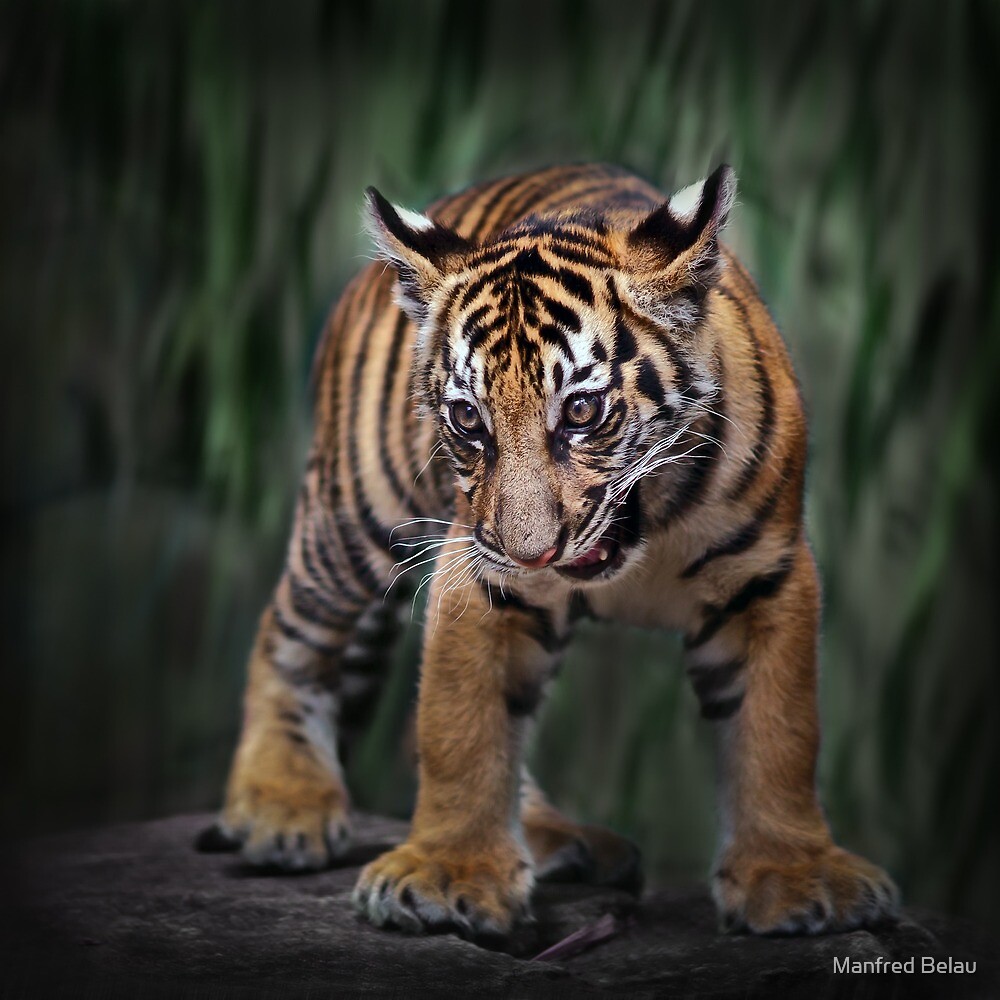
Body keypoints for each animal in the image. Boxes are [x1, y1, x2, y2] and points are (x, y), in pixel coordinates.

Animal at [200, 162, 900, 937]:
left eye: (581, 410)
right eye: (467, 418)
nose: (529, 554)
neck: (646, 533)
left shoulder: (767, 576)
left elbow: (779, 732)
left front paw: (795, 874)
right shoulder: (475, 574)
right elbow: (461, 728)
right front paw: (448, 873)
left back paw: (555, 838)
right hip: (354, 511)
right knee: (290, 631)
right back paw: (281, 803)